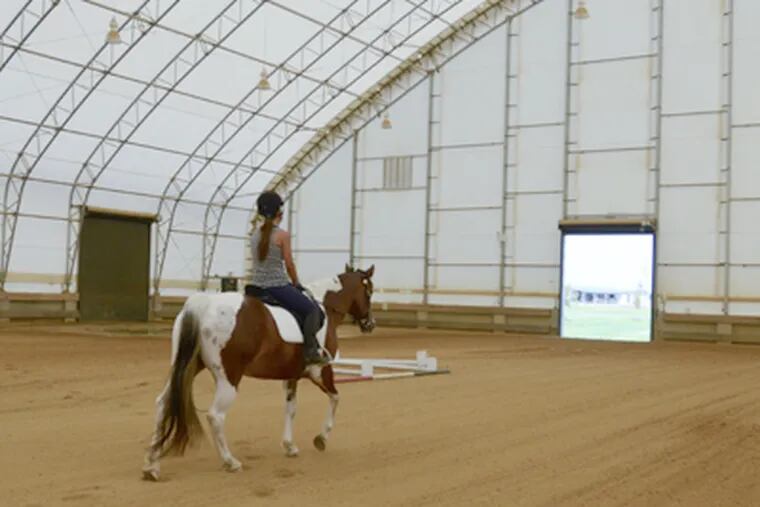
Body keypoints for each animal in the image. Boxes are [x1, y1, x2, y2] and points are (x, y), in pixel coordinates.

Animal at [141, 265, 376, 481]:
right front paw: (321, 439)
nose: (370, 324)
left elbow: (291, 408)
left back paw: (152, 466)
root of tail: (205, 305)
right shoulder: (320, 371)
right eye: (369, 292)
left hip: (184, 368)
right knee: (215, 416)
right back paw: (231, 462)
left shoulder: (291, 376)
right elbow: (336, 398)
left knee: (162, 403)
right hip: (229, 379)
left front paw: (289, 446)